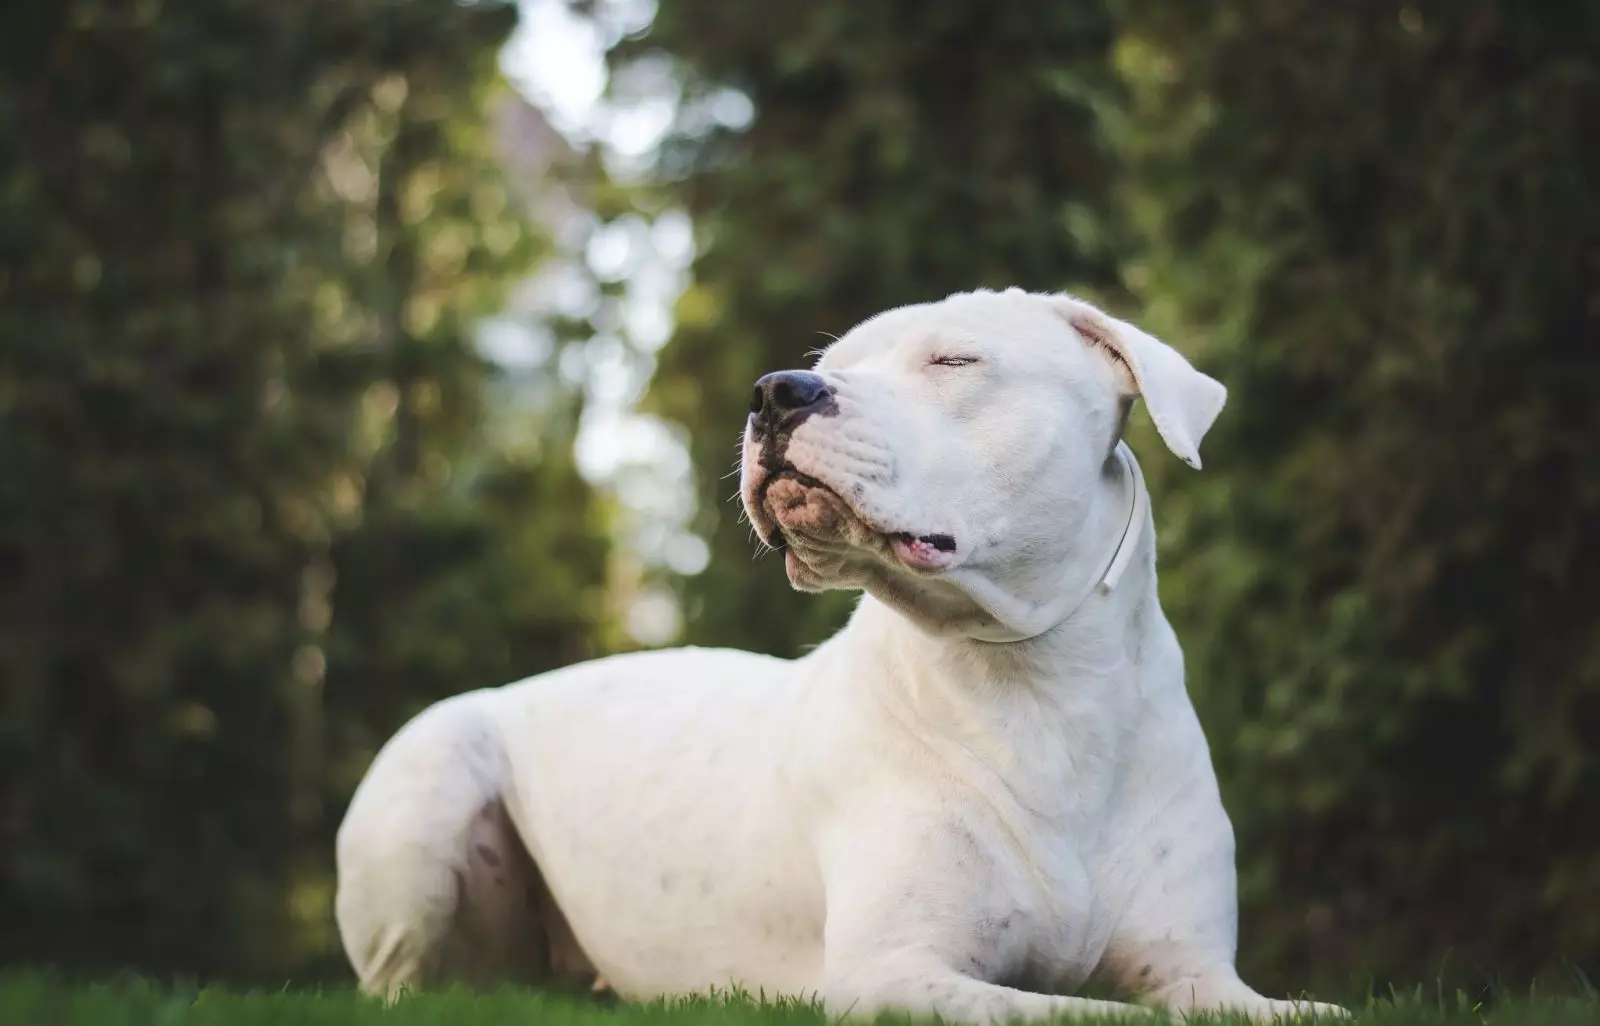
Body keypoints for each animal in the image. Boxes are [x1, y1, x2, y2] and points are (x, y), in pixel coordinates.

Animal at [334, 286, 1337, 1017]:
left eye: (955, 358)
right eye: (829, 367)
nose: (776, 391)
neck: (1040, 687)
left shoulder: (1196, 968)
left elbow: (1265, 1008)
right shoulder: (898, 972)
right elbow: (1091, 1013)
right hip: (433, 776)